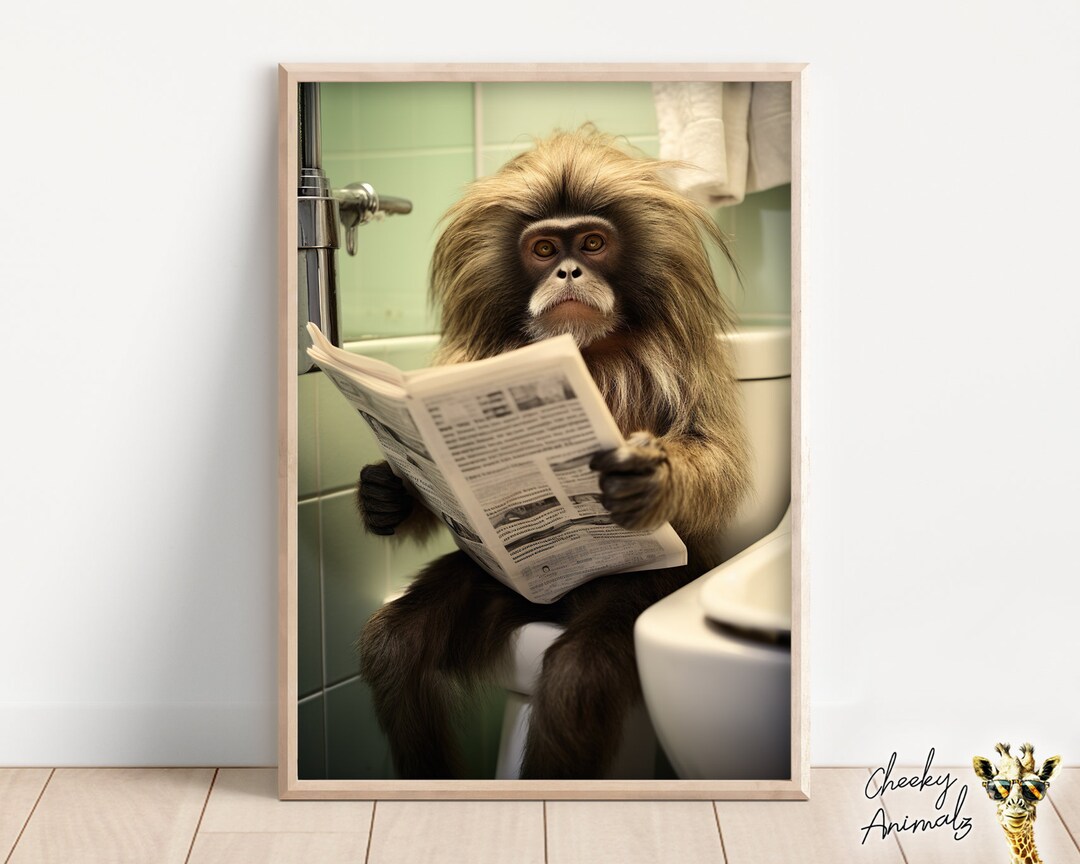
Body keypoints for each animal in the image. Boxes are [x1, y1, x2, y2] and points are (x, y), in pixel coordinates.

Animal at [355, 128, 752, 780]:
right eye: (543, 249)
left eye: (591, 243)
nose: (568, 270)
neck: (585, 350)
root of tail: (553, 609)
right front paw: (386, 495)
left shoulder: (688, 354)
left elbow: (716, 456)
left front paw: (651, 480)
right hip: (502, 584)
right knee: (394, 646)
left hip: (648, 586)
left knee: (577, 675)